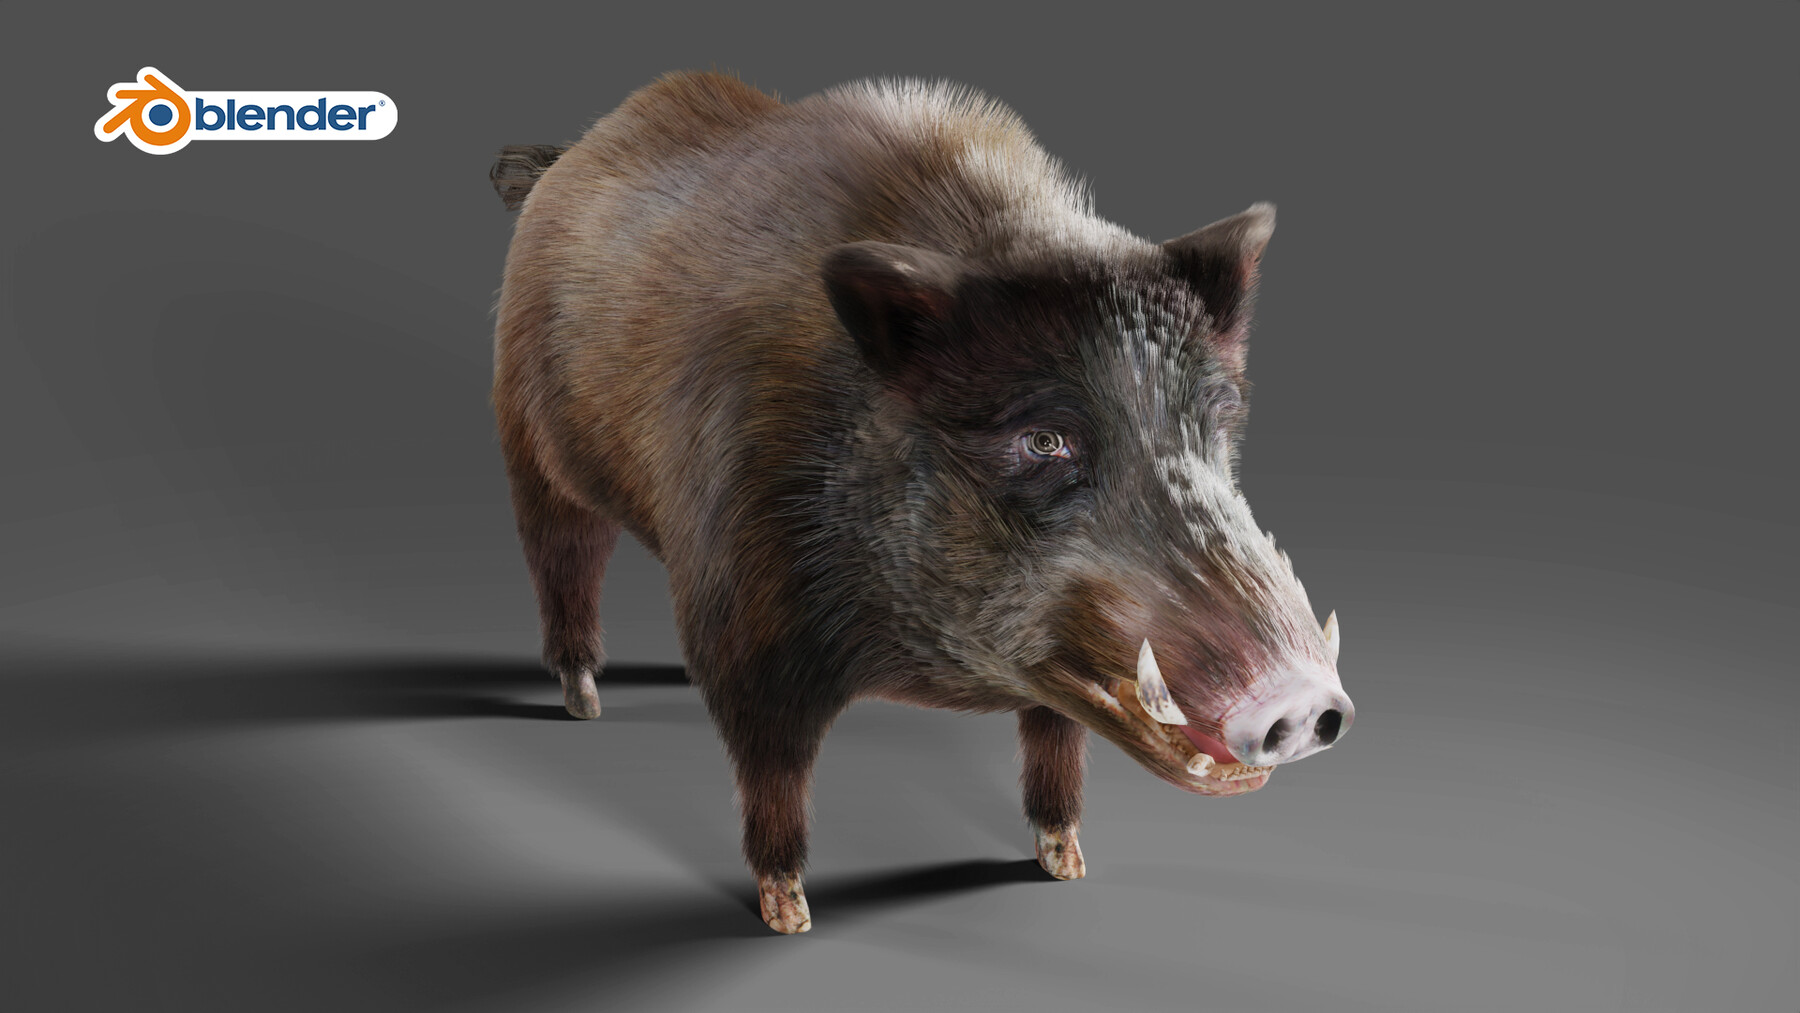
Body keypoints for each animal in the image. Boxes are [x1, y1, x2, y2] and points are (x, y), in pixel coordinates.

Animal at [490, 71, 1354, 934]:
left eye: (1217, 420)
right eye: (1045, 441)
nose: (1308, 698)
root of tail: (567, 157)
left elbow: (1056, 736)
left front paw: (1065, 863)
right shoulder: (746, 620)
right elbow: (770, 766)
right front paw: (789, 914)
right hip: (528, 451)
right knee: (560, 559)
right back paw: (584, 701)